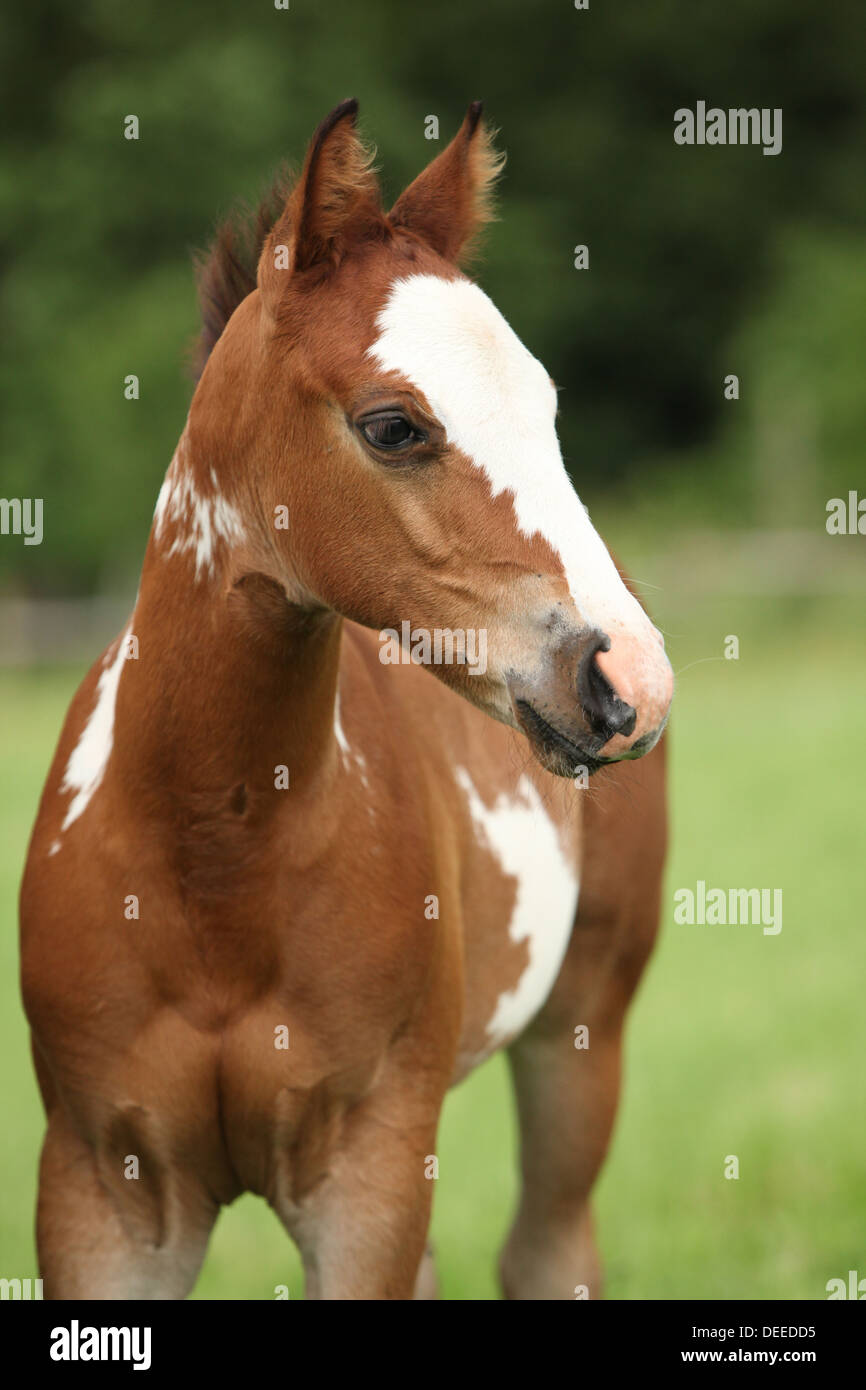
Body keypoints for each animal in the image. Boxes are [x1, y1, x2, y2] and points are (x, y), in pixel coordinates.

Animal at [20, 99, 673, 1300]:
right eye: (393, 425)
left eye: (545, 408)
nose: (628, 681)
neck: (211, 865)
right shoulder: (100, 1193)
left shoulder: (369, 1177)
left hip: (580, 1030)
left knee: (548, 1246)